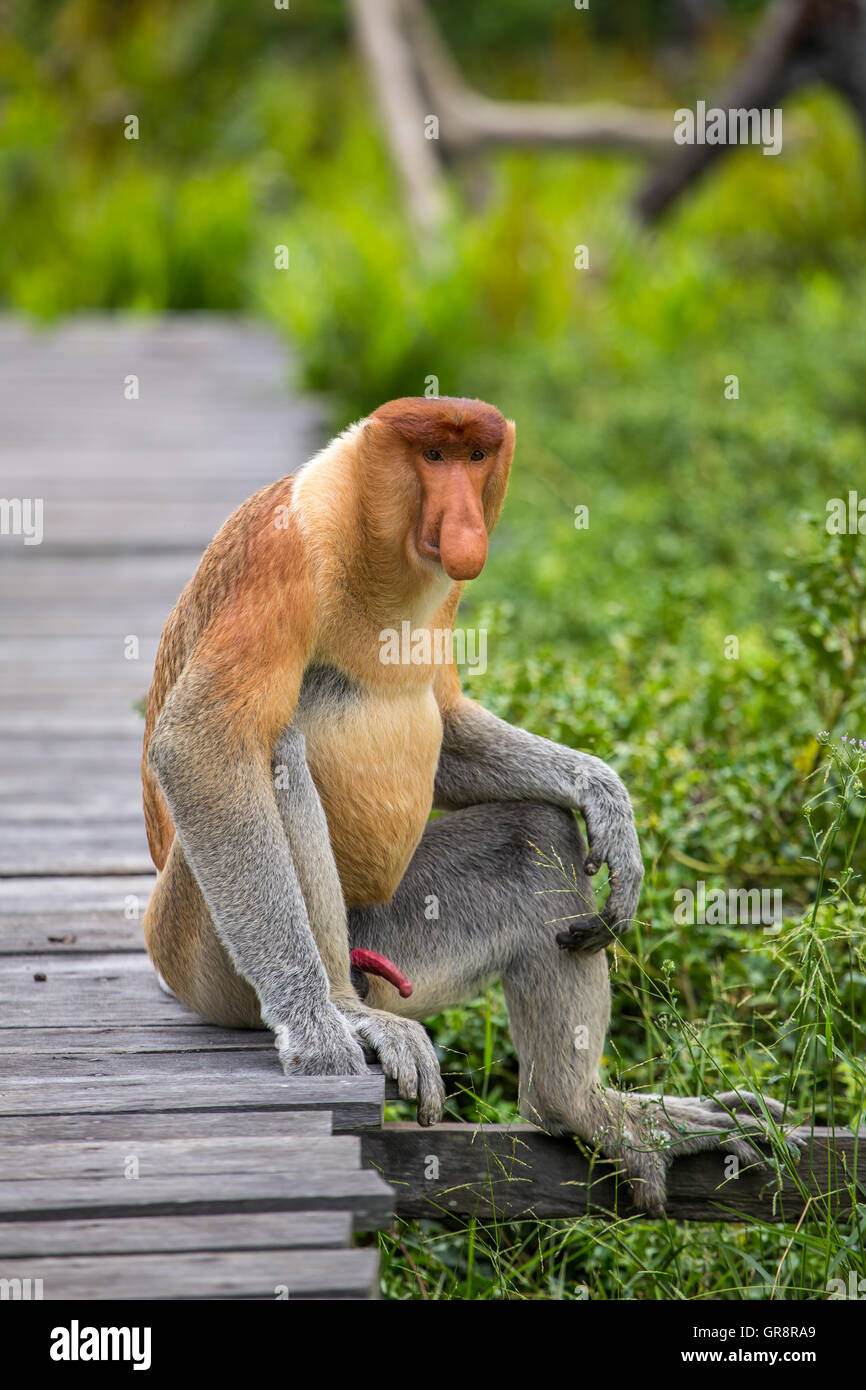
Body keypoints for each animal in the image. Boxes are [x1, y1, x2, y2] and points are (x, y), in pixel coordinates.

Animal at [141, 396, 788, 1214]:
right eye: (434, 457)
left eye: (476, 456)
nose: (464, 522)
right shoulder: (280, 557)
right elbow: (199, 749)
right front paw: (318, 1029)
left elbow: (446, 729)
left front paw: (606, 800)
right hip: (200, 953)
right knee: (274, 745)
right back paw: (347, 1007)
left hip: (399, 936)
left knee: (534, 837)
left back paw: (593, 1113)